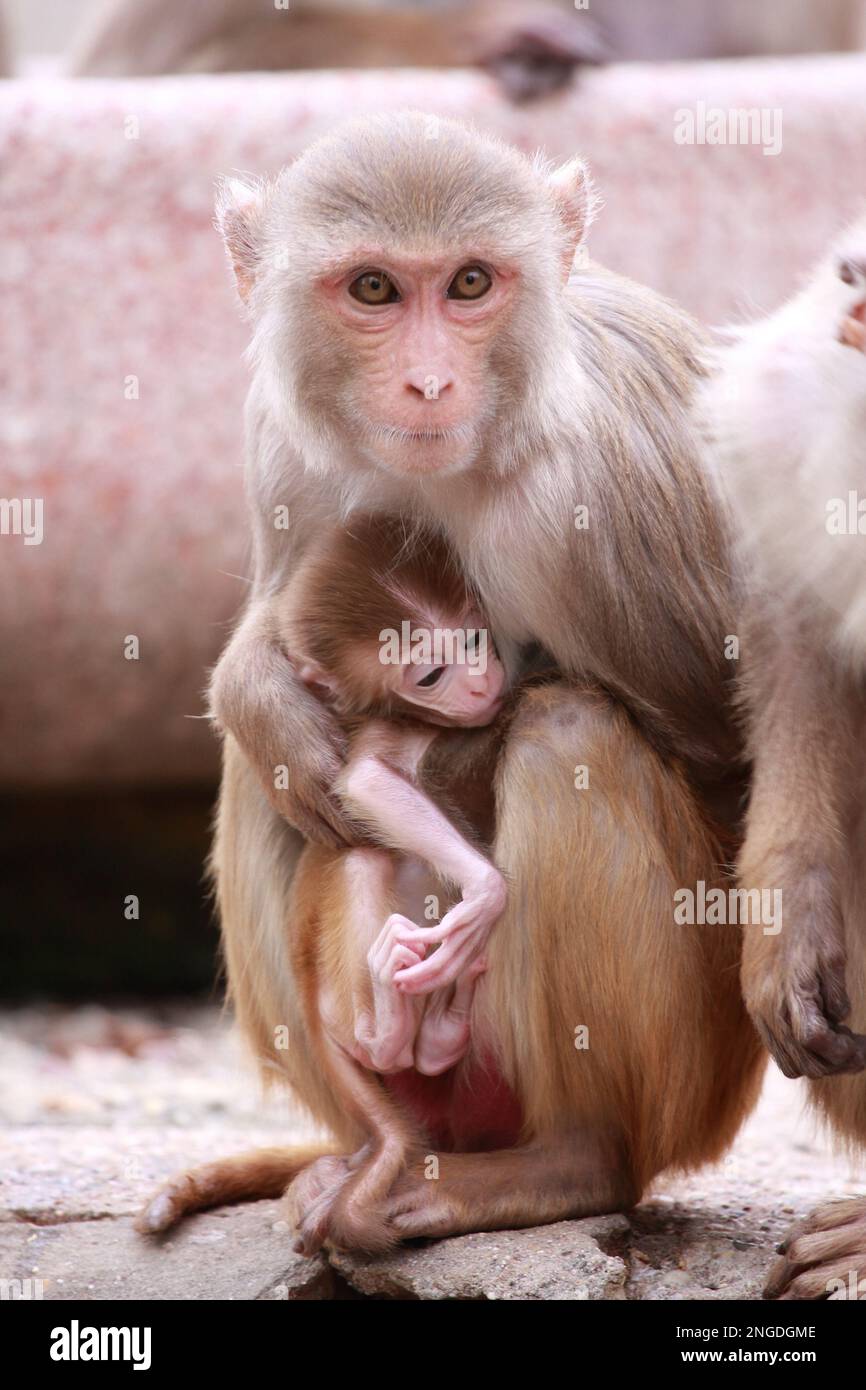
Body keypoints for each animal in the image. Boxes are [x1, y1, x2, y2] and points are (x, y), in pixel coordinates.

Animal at [137, 112, 766, 1253]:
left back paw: (572, 1160)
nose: (428, 383)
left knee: (568, 738)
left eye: (470, 283)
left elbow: (732, 761)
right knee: (270, 784)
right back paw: (372, 1126)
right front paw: (264, 695)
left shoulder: (601, 491)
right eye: (374, 289)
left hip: (692, 1079)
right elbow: (290, 675)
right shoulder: (277, 437)